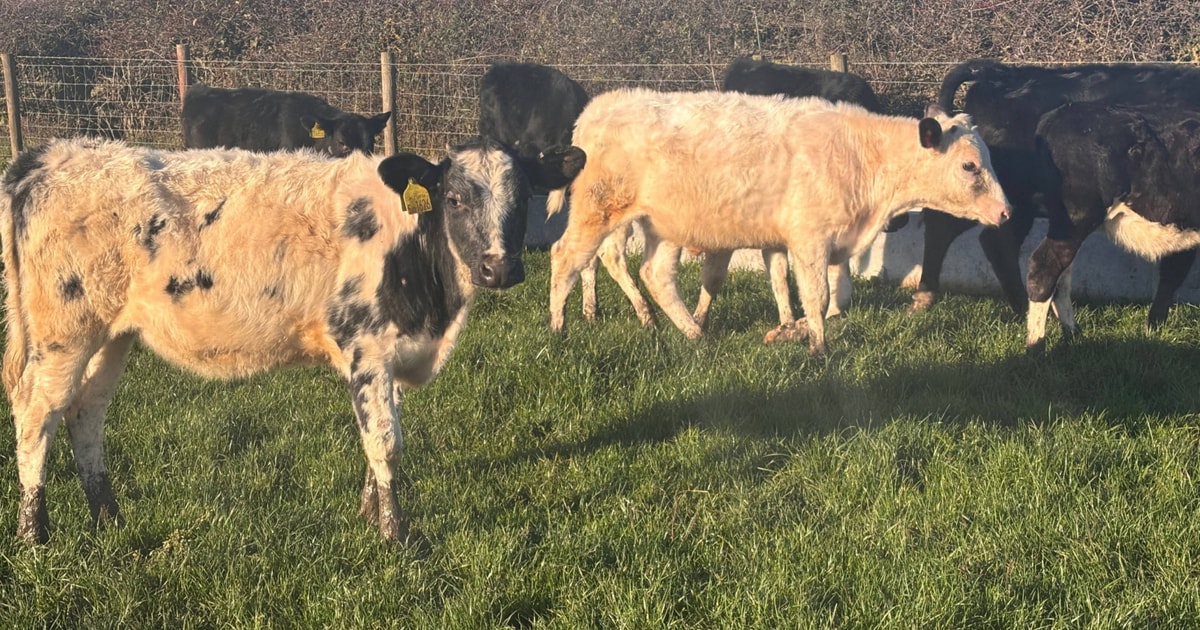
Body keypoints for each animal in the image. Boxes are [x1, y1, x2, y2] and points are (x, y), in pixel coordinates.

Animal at [0, 135, 563, 544]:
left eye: (524, 200)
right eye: (454, 198)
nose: (499, 268)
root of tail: (53, 153)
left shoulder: (394, 352)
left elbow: (380, 438)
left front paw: (369, 513)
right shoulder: (364, 349)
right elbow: (386, 443)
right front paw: (396, 536)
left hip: (112, 335)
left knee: (86, 415)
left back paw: (108, 517)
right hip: (63, 333)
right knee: (36, 416)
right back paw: (34, 534)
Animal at [548, 88, 1011, 355]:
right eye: (970, 166)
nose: (1005, 212)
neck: (860, 155)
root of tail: (596, 108)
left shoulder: (806, 242)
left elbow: (810, 292)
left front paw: (790, 330)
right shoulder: (810, 240)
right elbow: (817, 296)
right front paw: (817, 346)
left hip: (663, 228)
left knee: (655, 274)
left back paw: (695, 335)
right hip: (599, 210)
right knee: (567, 257)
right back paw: (558, 327)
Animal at [912, 59, 1200, 316]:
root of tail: (1003, 76)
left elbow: (1175, 268)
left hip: (1016, 203)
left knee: (994, 242)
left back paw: (1020, 308)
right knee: (944, 227)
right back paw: (925, 297)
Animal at [1025, 102, 1200, 351]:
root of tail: (1059, 113)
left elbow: (1172, 275)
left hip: (1067, 224)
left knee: (1062, 273)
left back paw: (1073, 333)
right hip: (1077, 218)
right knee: (1044, 267)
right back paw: (1036, 345)